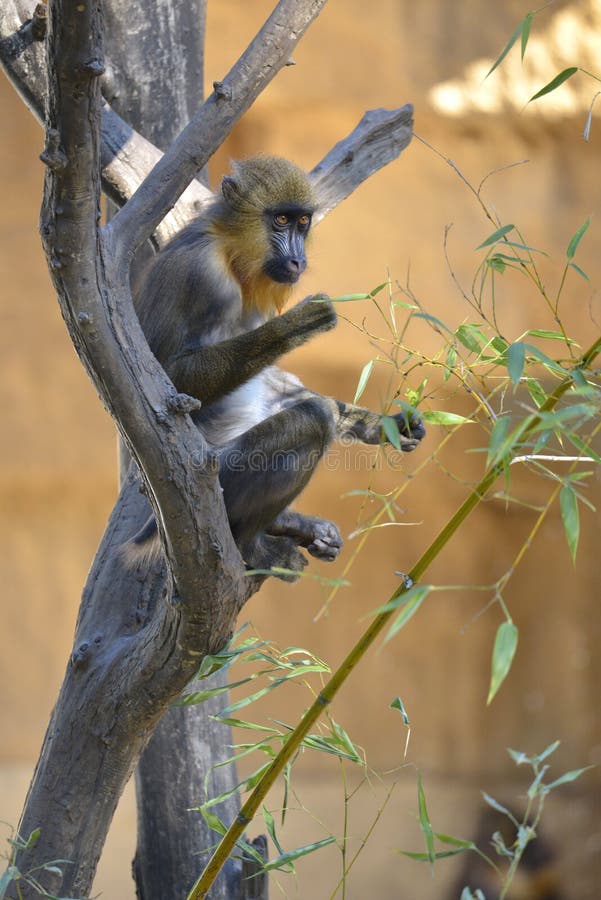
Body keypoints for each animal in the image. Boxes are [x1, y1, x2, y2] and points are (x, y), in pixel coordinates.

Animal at [129, 155, 425, 577]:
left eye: (302, 221)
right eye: (280, 220)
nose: (298, 258)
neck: (232, 253)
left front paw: (386, 426)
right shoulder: (194, 271)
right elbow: (168, 379)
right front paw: (301, 322)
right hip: (220, 474)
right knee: (314, 418)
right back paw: (253, 544)